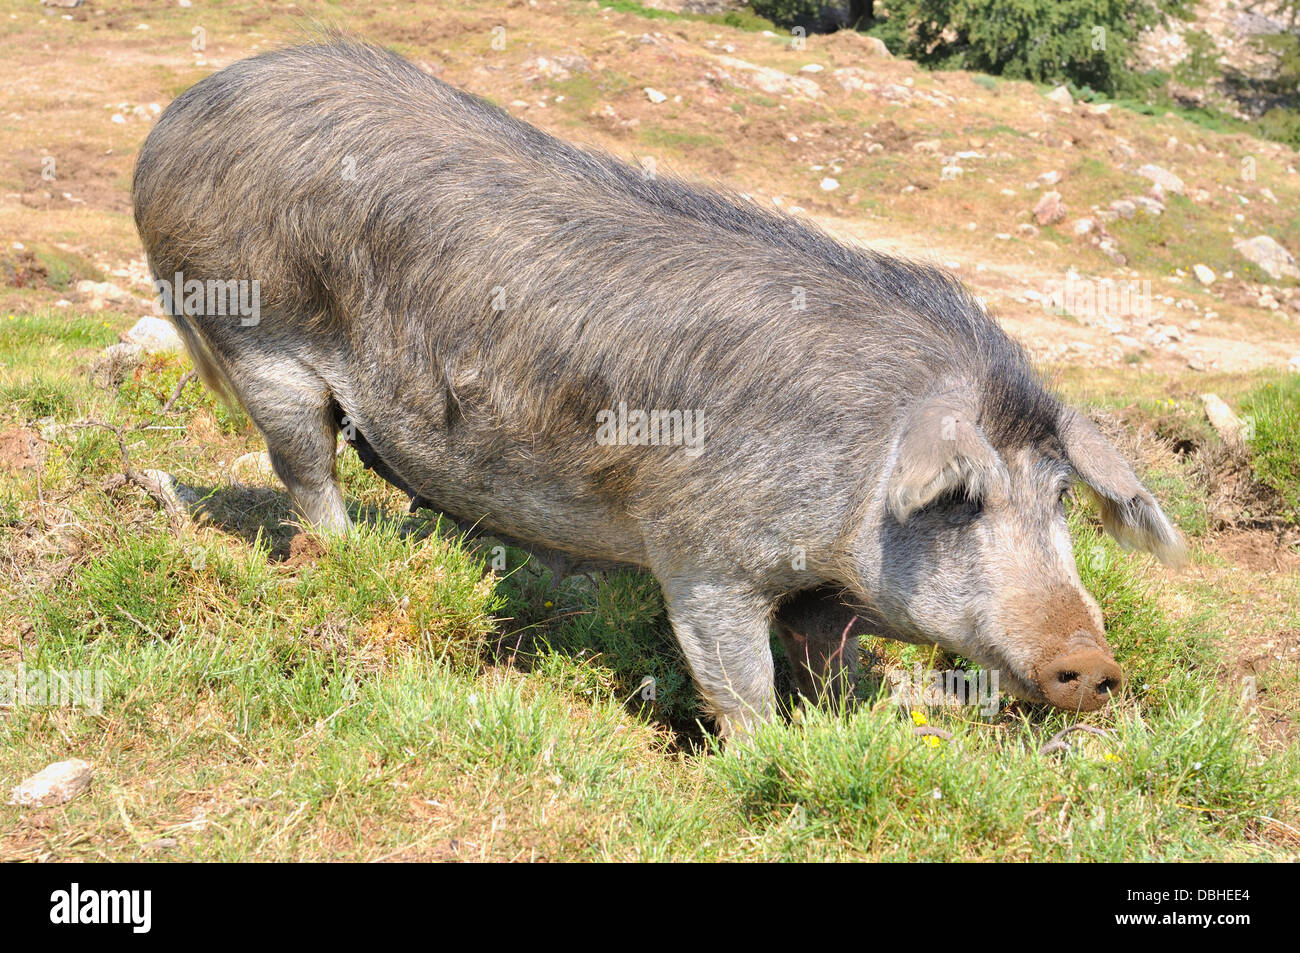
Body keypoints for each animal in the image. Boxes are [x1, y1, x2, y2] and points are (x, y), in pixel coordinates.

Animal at [132, 39, 1186, 737]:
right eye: (963, 498)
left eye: (1061, 499)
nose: (1092, 661)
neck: (858, 468)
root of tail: (184, 110)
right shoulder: (703, 550)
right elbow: (739, 683)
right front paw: (762, 759)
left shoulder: (819, 586)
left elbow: (831, 665)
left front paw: (853, 726)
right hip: (257, 337)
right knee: (304, 470)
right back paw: (345, 554)